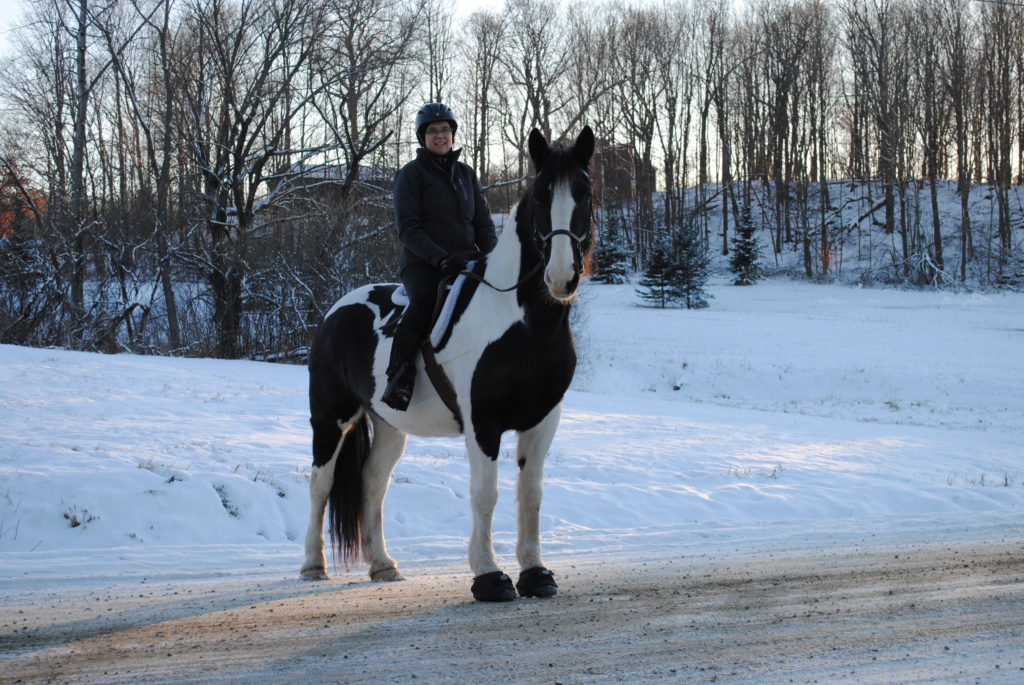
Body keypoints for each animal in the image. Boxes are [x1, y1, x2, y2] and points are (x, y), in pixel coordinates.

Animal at [300, 126, 595, 602]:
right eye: (540, 197)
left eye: (585, 194)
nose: (560, 277)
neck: (523, 323)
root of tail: (335, 313)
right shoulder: (482, 421)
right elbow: (485, 493)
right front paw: (489, 576)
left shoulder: (542, 420)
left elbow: (531, 495)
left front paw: (535, 573)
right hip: (331, 418)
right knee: (320, 483)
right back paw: (312, 565)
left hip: (389, 426)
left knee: (372, 481)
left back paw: (382, 564)